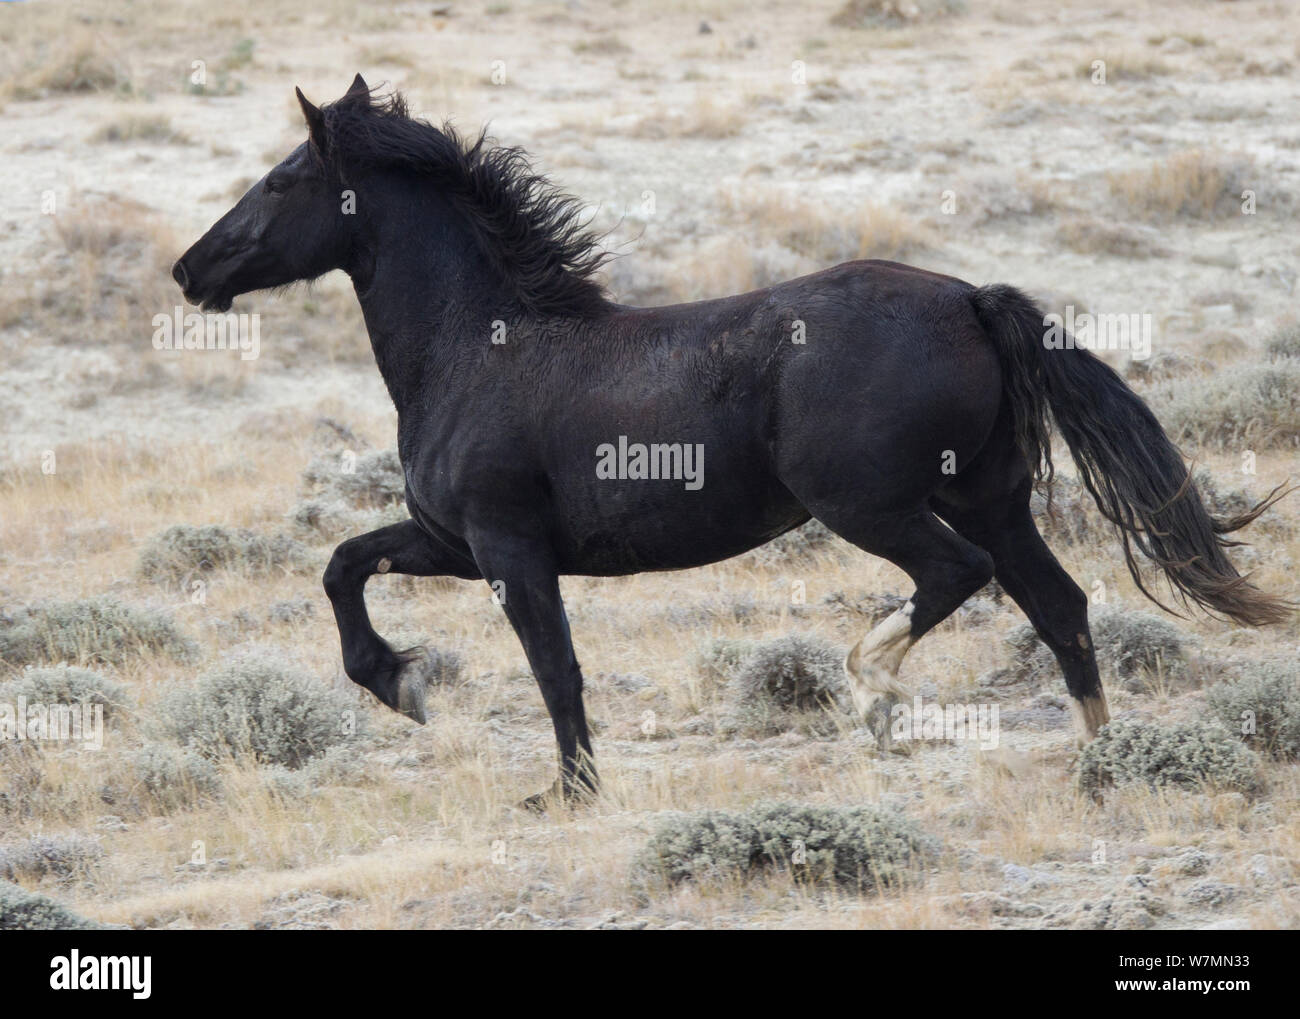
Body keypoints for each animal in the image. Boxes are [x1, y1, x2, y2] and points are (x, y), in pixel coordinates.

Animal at [173, 75, 1291, 807]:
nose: (191, 269)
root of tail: (972, 298)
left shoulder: (507, 547)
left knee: (956, 575)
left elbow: (555, 668)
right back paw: (1101, 769)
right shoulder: (451, 541)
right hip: (990, 494)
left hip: (870, 504)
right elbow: (343, 561)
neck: (477, 343)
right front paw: (399, 685)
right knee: (1059, 606)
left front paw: (568, 792)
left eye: (279, 182)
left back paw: (874, 693)